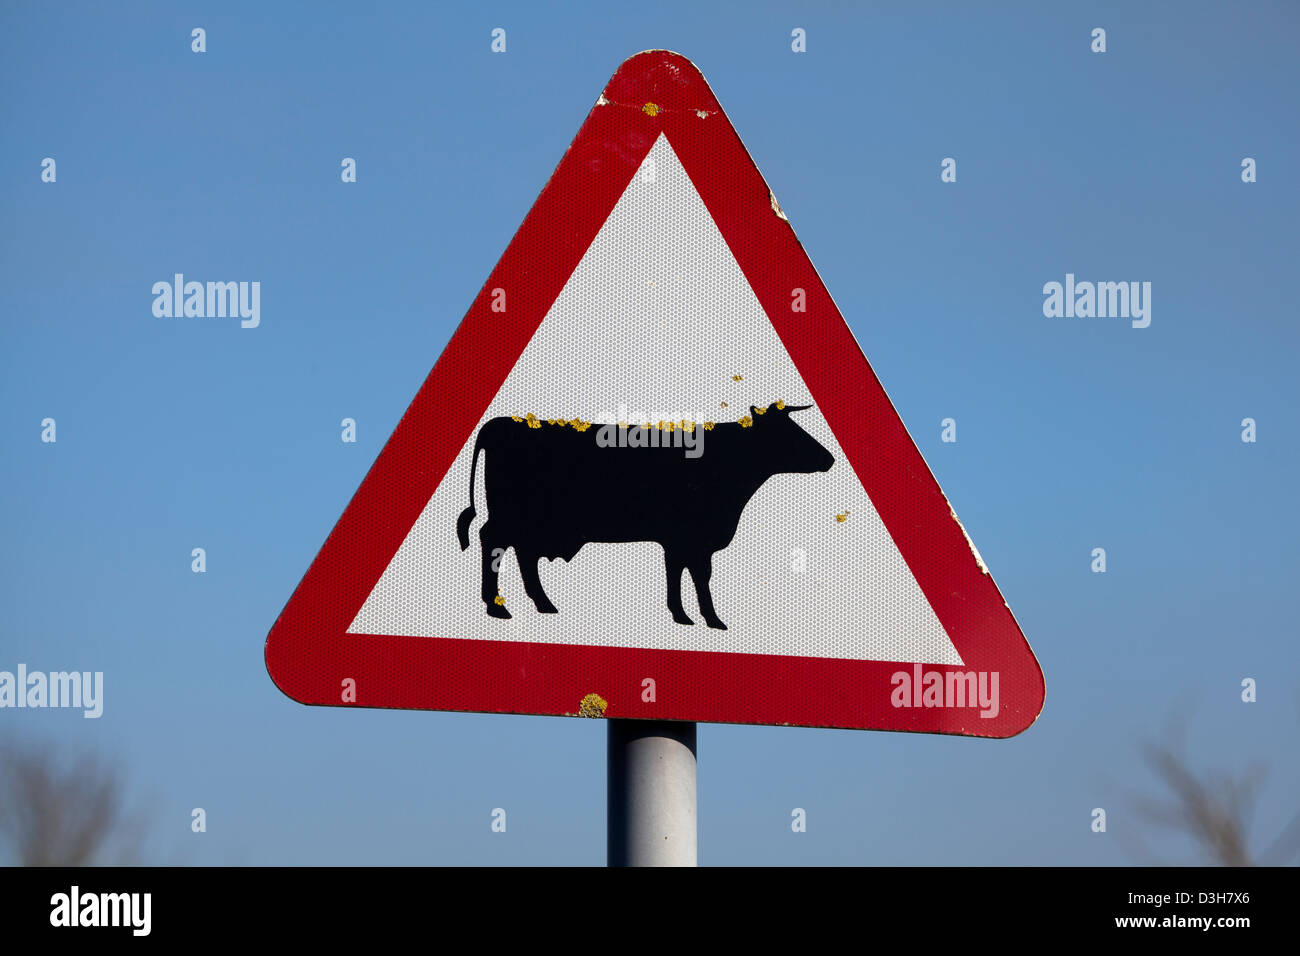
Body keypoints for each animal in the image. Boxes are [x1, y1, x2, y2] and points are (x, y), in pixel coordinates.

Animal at [456, 401, 834, 630]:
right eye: (790, 433)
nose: (829, 459)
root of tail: (499, 423)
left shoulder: (680, 541)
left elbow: (678, 574)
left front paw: (684, 615)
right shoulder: (693, 539)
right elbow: (699, 578)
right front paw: (710, 619)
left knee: (523, 554)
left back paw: (543, 603)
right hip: (511, 517)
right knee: (494, 542)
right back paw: (496, 606)